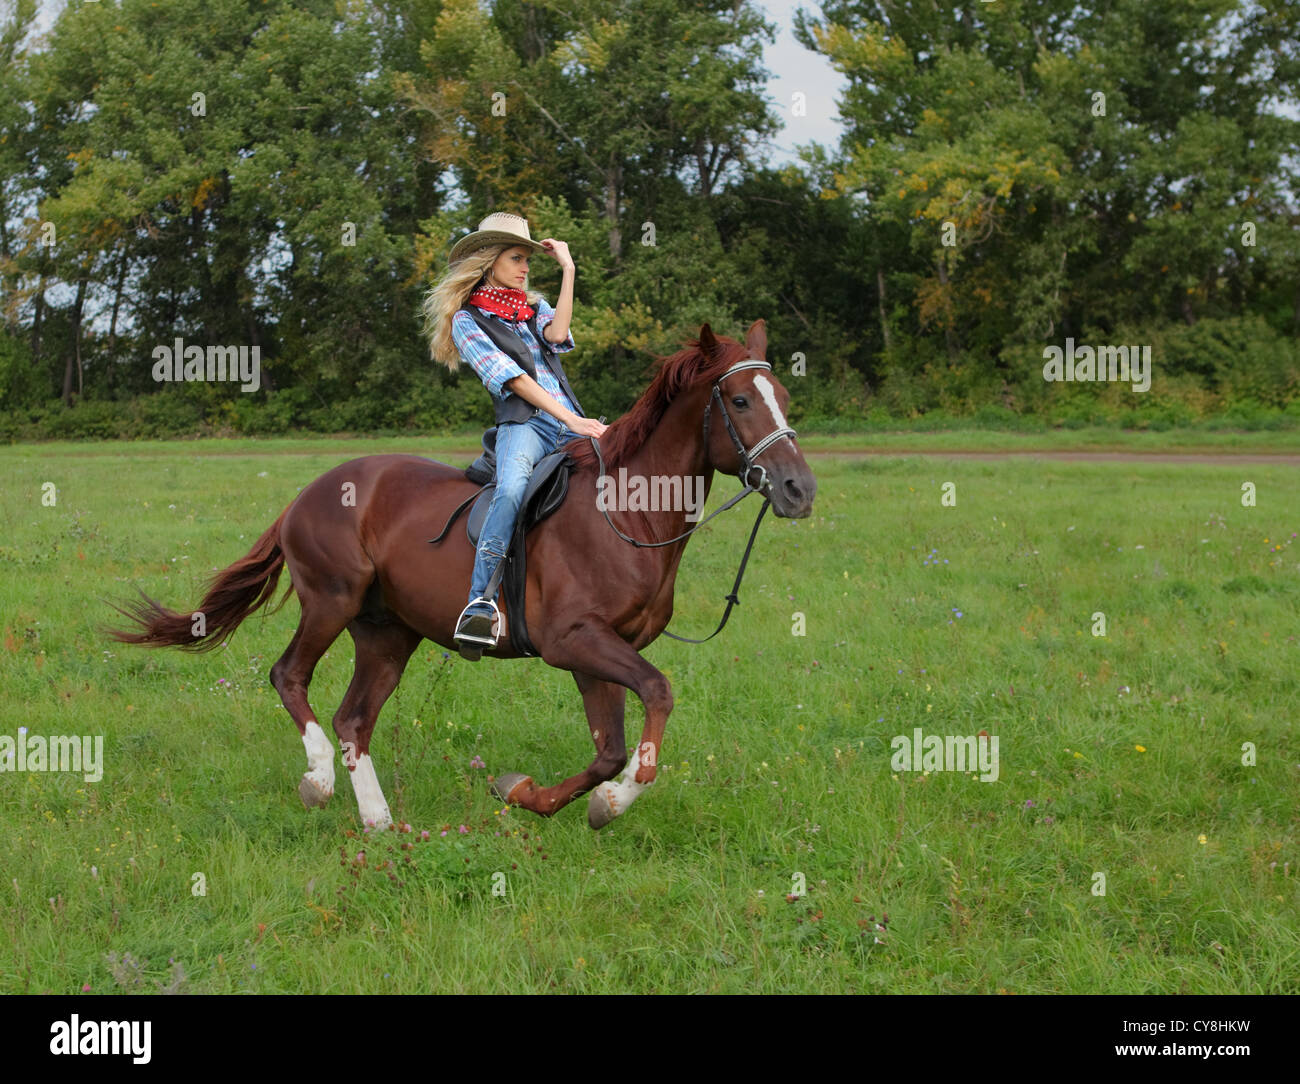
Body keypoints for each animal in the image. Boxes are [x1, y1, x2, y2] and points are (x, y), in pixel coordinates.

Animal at [108, 319, 817, 829]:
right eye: (740, 399)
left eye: (784, 398)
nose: (798, 489)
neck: (627, 513)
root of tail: (308, 493)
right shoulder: (575, 642)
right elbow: (657, 699)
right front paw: (613, 801)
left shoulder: (600, 652)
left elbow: (610, 749)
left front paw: (530, 794)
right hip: (332, 601)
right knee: (291, 677)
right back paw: (318, 780)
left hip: (387, 633)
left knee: (353, 719)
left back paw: (378, 820)